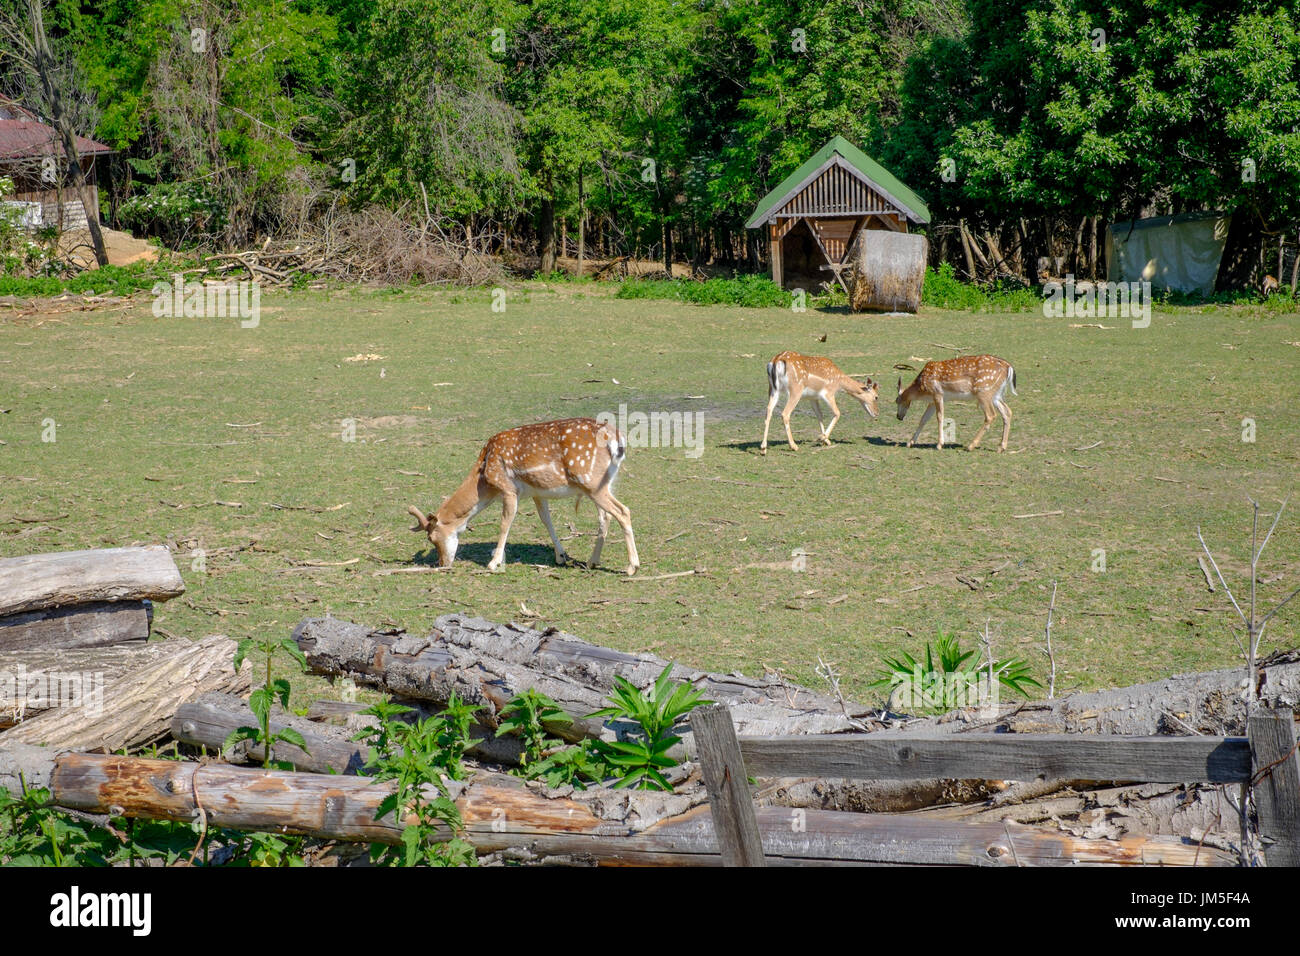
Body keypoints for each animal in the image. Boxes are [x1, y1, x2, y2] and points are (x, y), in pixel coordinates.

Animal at [406, 417, 640, 576]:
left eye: (432, 538)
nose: (442, 563)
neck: (484, 477)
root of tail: (617, 438)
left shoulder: (508, 489)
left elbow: (505, 523)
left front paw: (494, 563)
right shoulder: (537, 492)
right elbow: (546, 521)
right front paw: (561, 556)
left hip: (591, 482)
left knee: (623, 511)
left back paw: (632, 567)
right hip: (603, 484)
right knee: (606, 516)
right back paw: (592, 562)